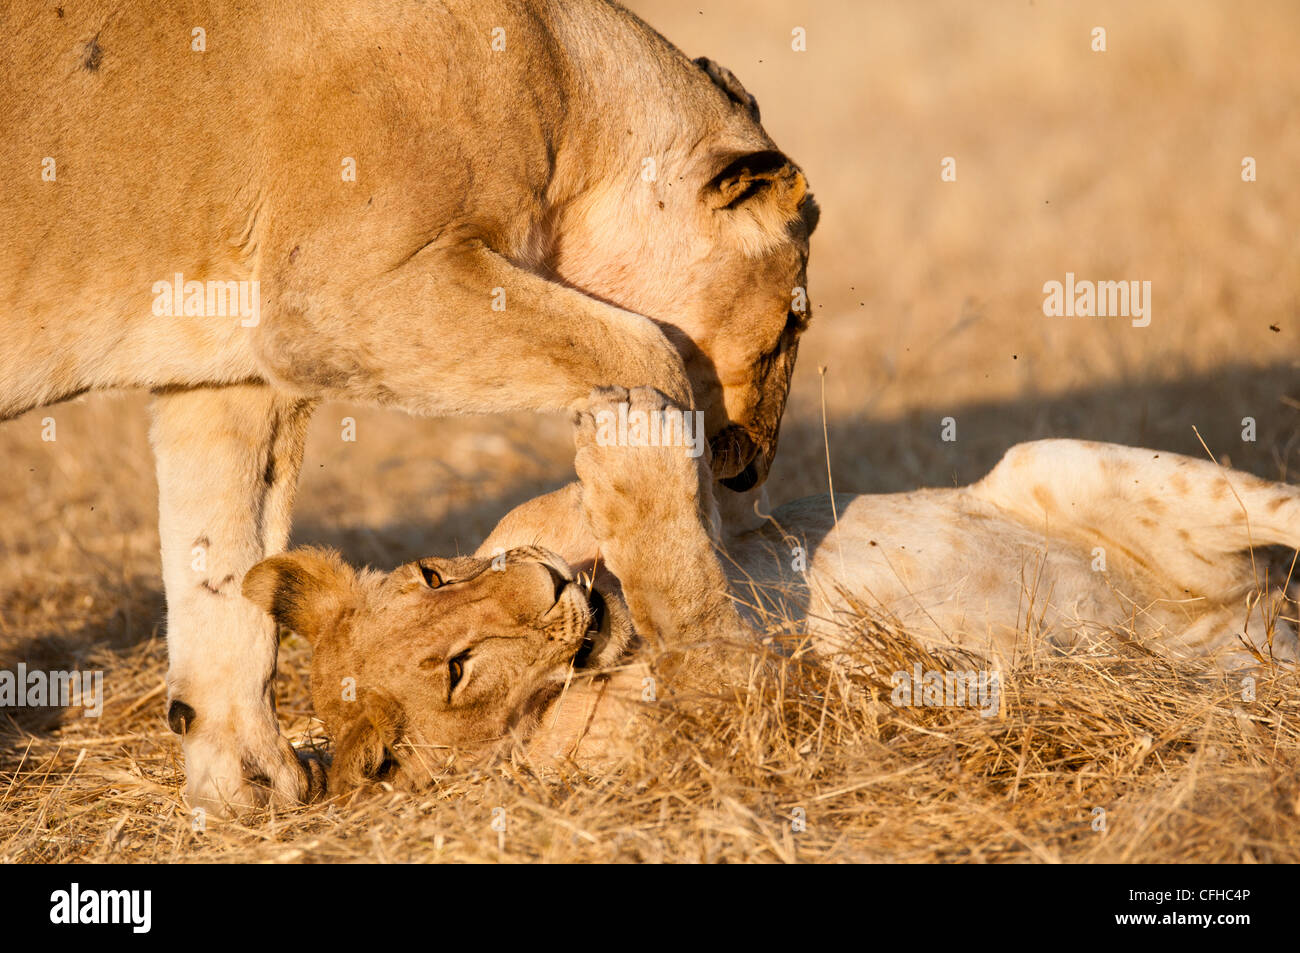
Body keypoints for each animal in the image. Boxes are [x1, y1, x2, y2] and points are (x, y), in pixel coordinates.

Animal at [1, 1, 817, 812]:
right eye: (794, 323)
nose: (751, 473)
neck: (565, 85)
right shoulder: (338, 297)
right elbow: (647, 349)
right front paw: (683, 508)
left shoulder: (235, 371)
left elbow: (222, 558)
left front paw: (249, 784)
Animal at [244, 388, 1300, 794]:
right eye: (457, 672)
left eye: (434, 574)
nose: (547, 586)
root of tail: (1242, 637)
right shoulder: (753, 718)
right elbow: (686, 604)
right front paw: (627, 462)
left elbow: (589, 516)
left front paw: (615, 454)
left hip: (1075, 466)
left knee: (1279, 509)